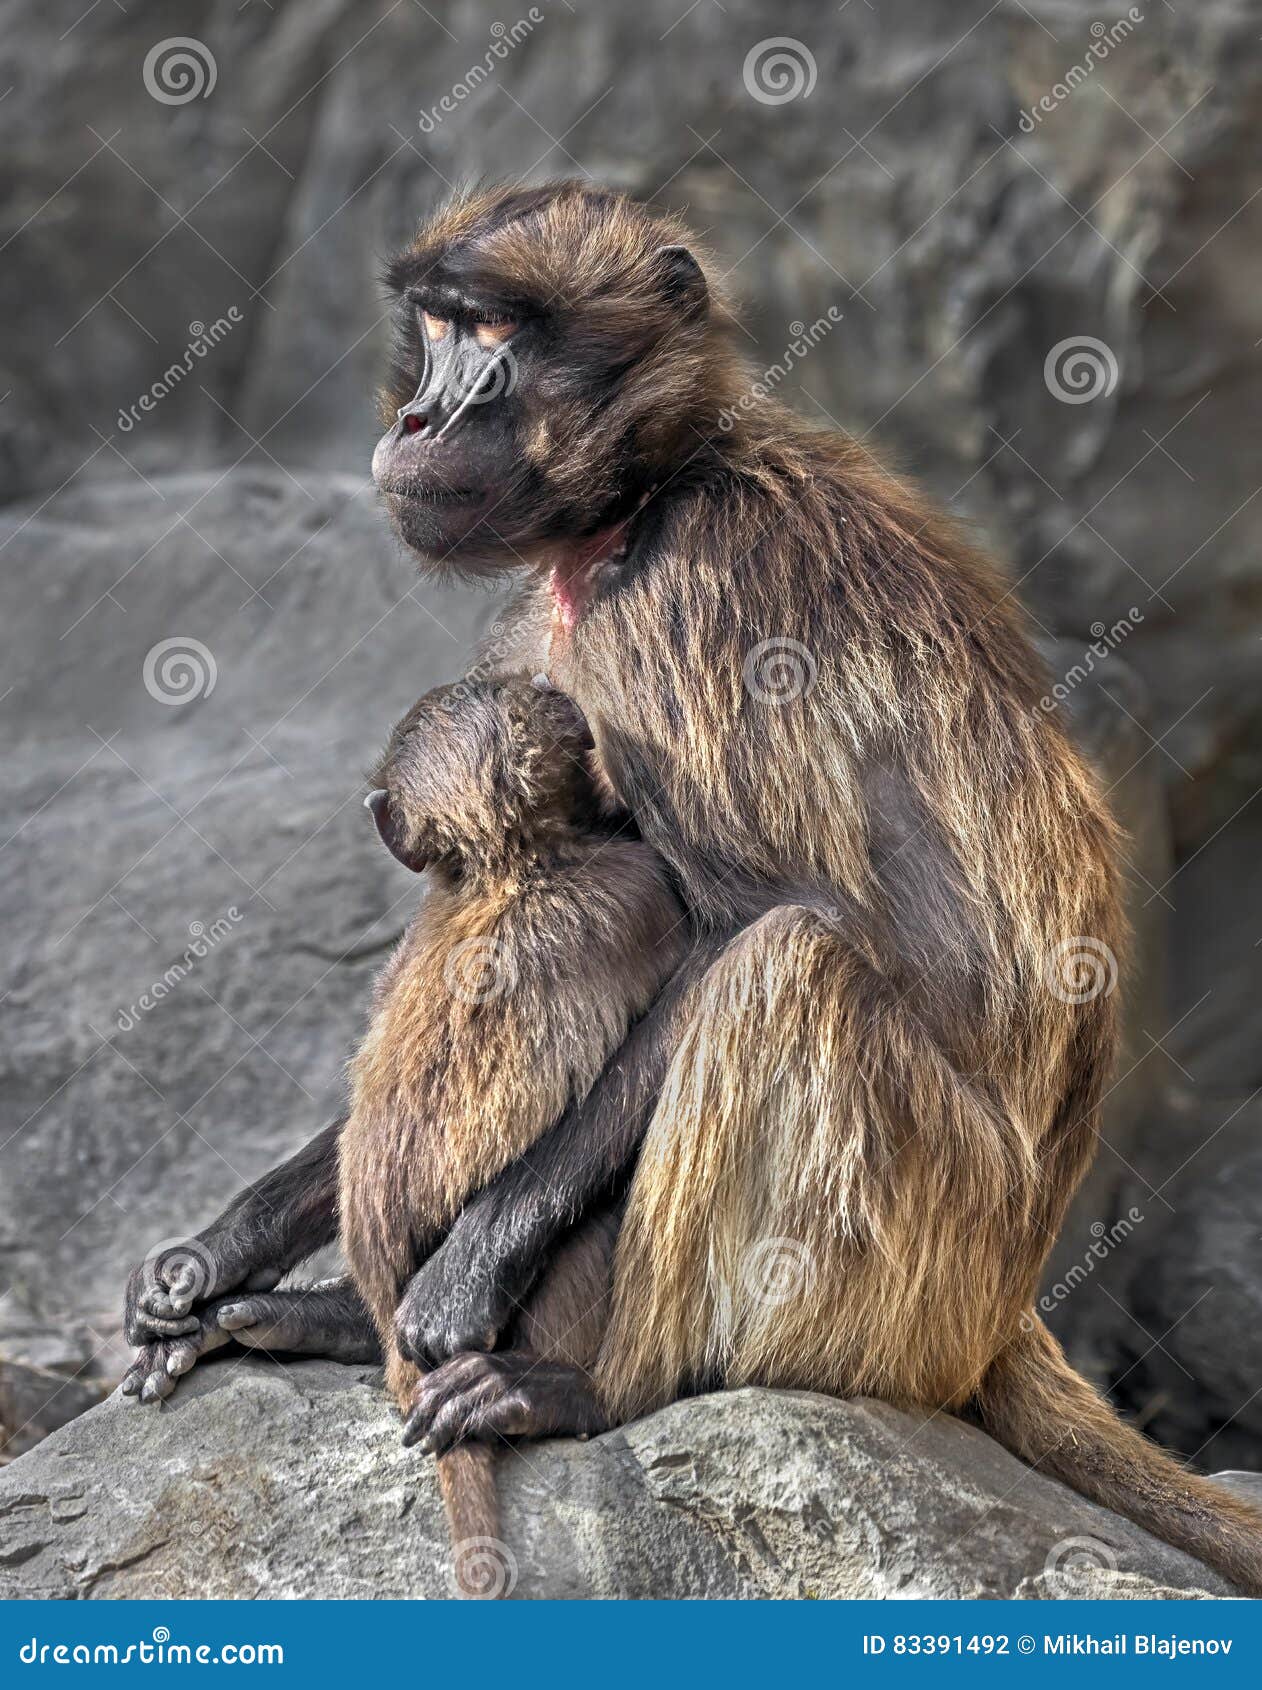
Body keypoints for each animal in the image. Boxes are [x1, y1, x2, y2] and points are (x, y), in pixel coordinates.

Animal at [123, 181, 1262, 1595]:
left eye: (491, 334)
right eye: (435, 328)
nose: (415, 419)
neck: (648, 492)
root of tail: (1005, 1308)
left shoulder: (697, 594)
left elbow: (746, 916)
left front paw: (463, 1271)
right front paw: (222, 1254)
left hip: (927, 1266)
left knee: (788, 964)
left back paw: (590, 1386)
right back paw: (331, 1317)